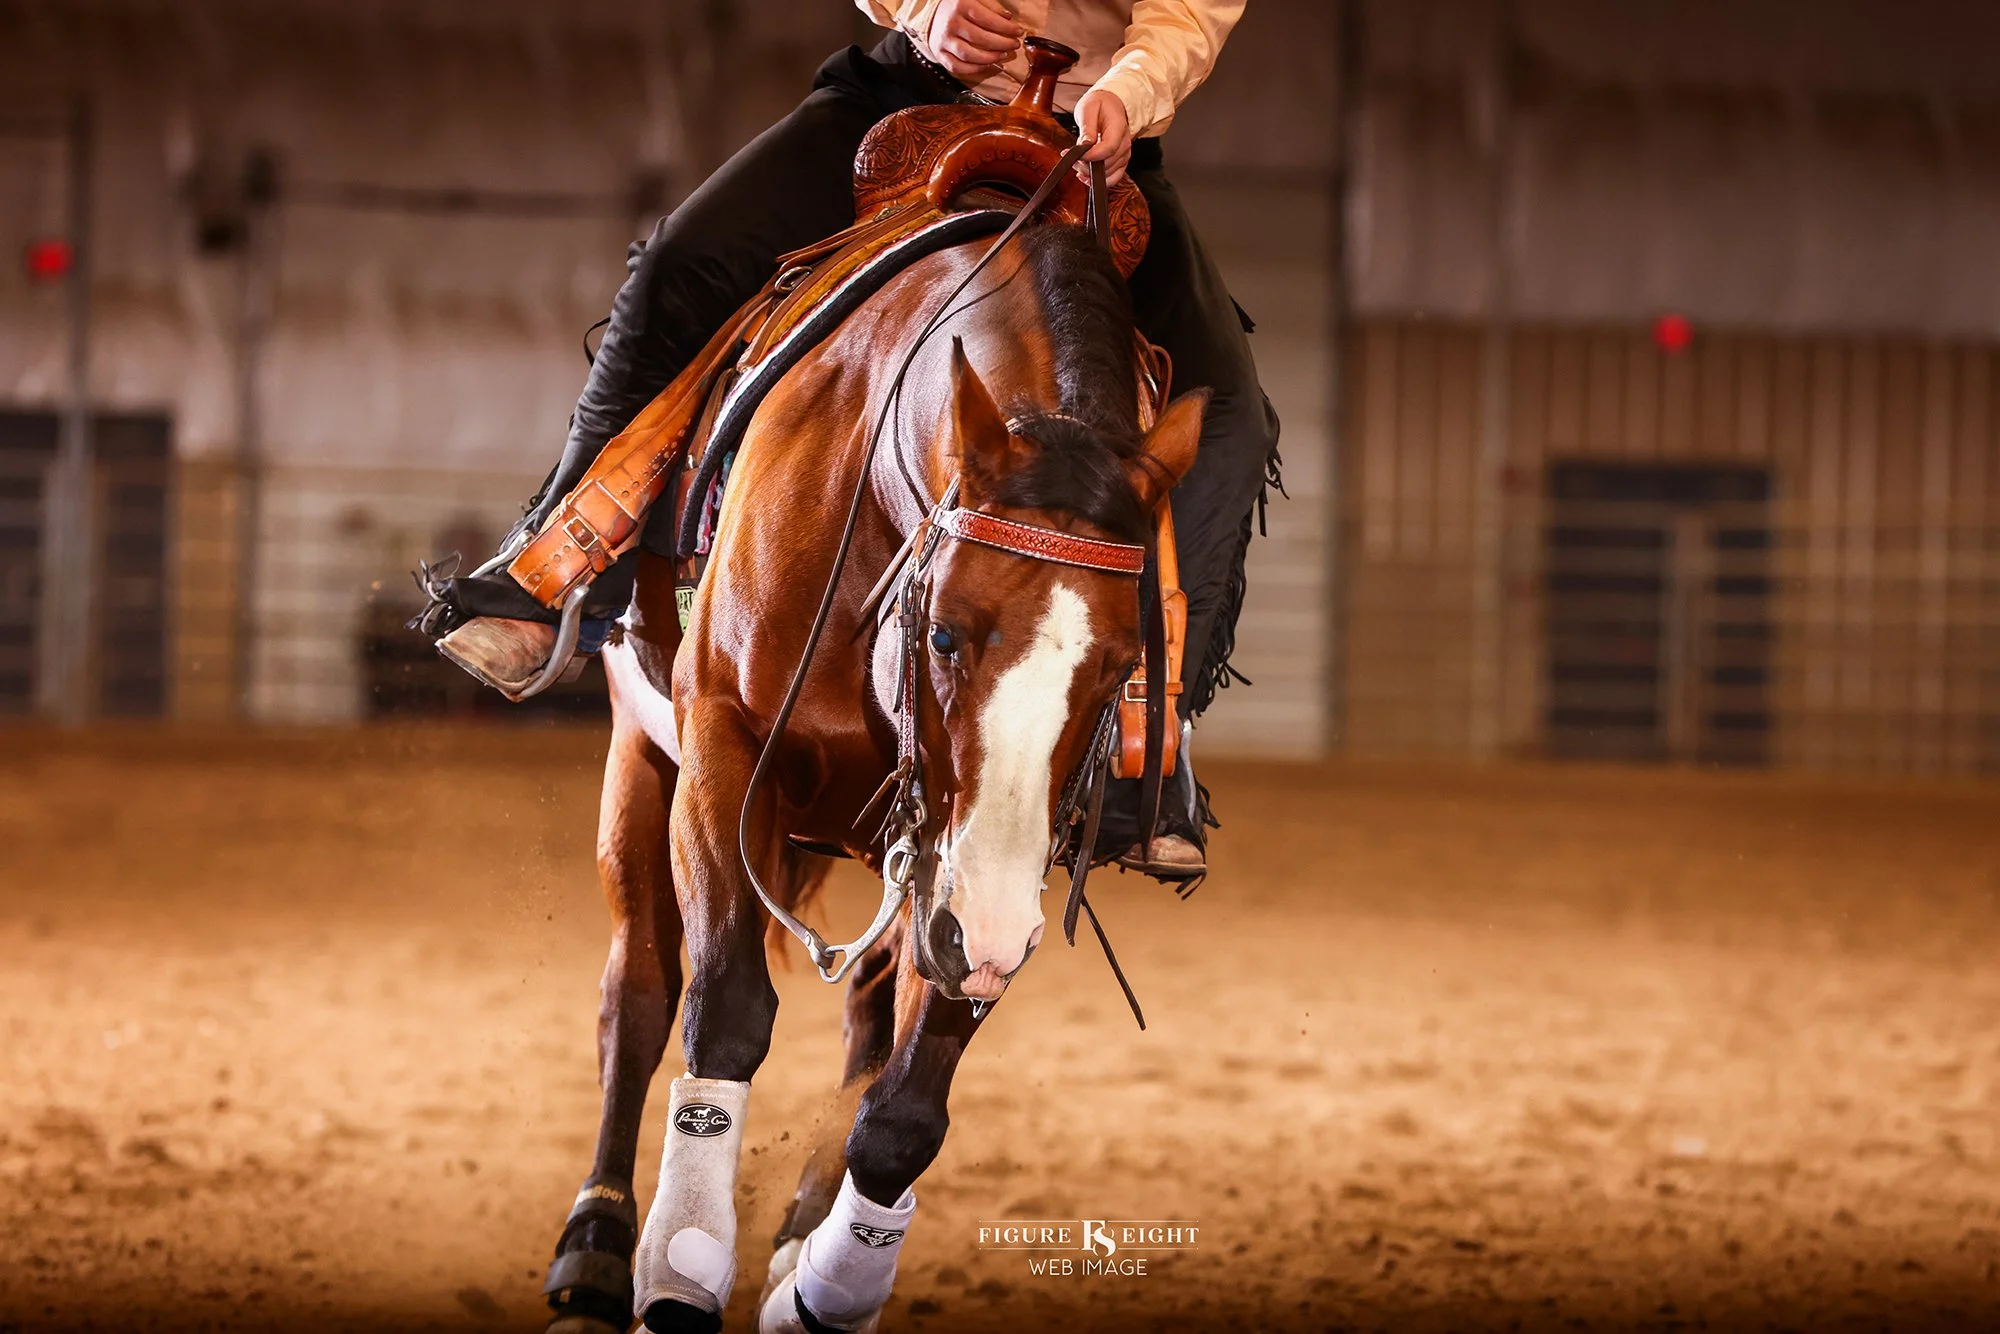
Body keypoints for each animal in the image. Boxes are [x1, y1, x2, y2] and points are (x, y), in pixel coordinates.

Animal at [539, 168, 1206, 1334]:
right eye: (943, 632)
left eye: (1129, 664)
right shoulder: (722, 744)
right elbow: (722, 1008)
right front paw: (680, 1264)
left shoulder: (987, 875)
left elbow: (904, 1107)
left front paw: (822, 1287)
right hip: (640, 753)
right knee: (639, 985)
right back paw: (596, 1238)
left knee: (867, 1013)